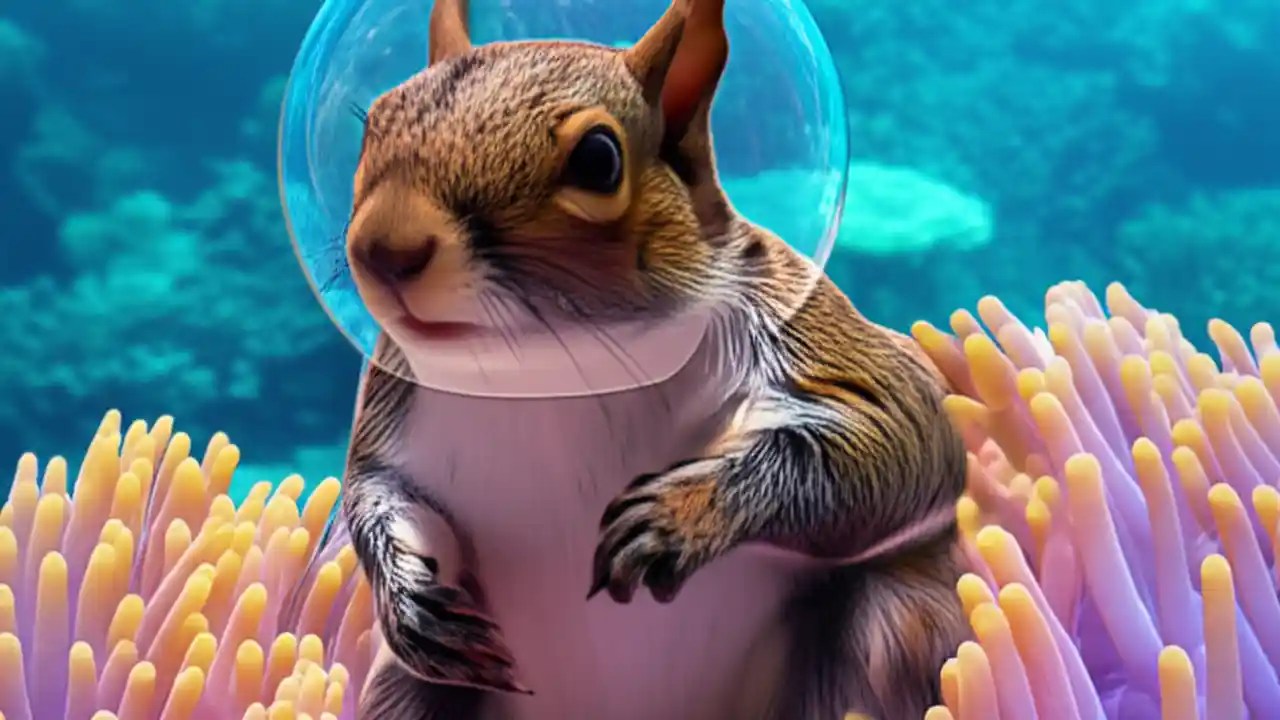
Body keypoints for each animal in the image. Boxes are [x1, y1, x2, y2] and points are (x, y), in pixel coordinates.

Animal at [319, 0, 971, 717]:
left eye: (598, 159)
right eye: (374, 120)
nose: (386, 249)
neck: (545, 370)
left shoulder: (809, 334)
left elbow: (899, 433)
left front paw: (680, 515)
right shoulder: (390, 408)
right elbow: (375, 492)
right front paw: (407, 598)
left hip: (888, 626)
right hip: (409, 694)